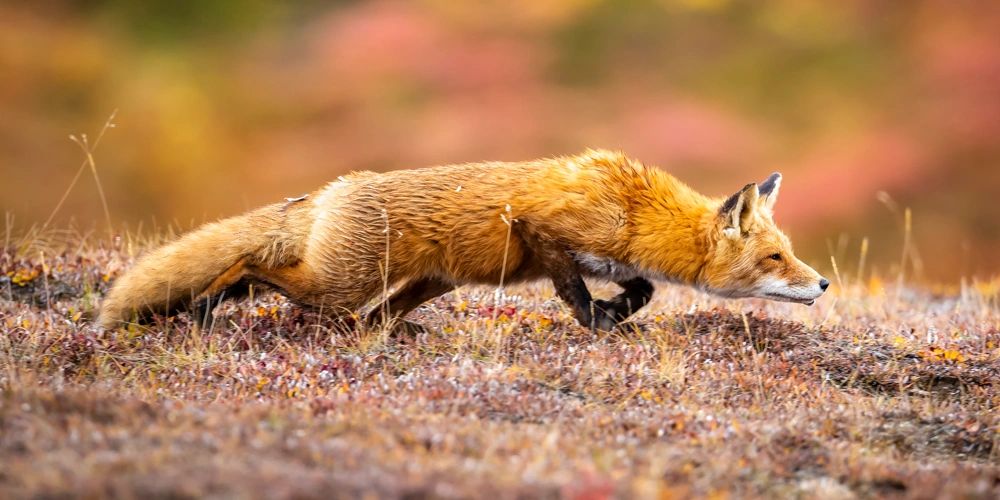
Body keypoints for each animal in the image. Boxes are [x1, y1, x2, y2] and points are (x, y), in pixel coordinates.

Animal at [98, 149, 829, 333]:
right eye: (776, 258)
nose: (824, 283)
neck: (635, 209)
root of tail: (334, 187)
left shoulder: (612, 256)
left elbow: (645, 288)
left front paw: (619, 312)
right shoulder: (545, 233)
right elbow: (572, 290)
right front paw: (597, 322)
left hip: (425, 283)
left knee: (366, 321)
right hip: (344, 281)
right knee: (250, 265)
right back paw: (203, 309)